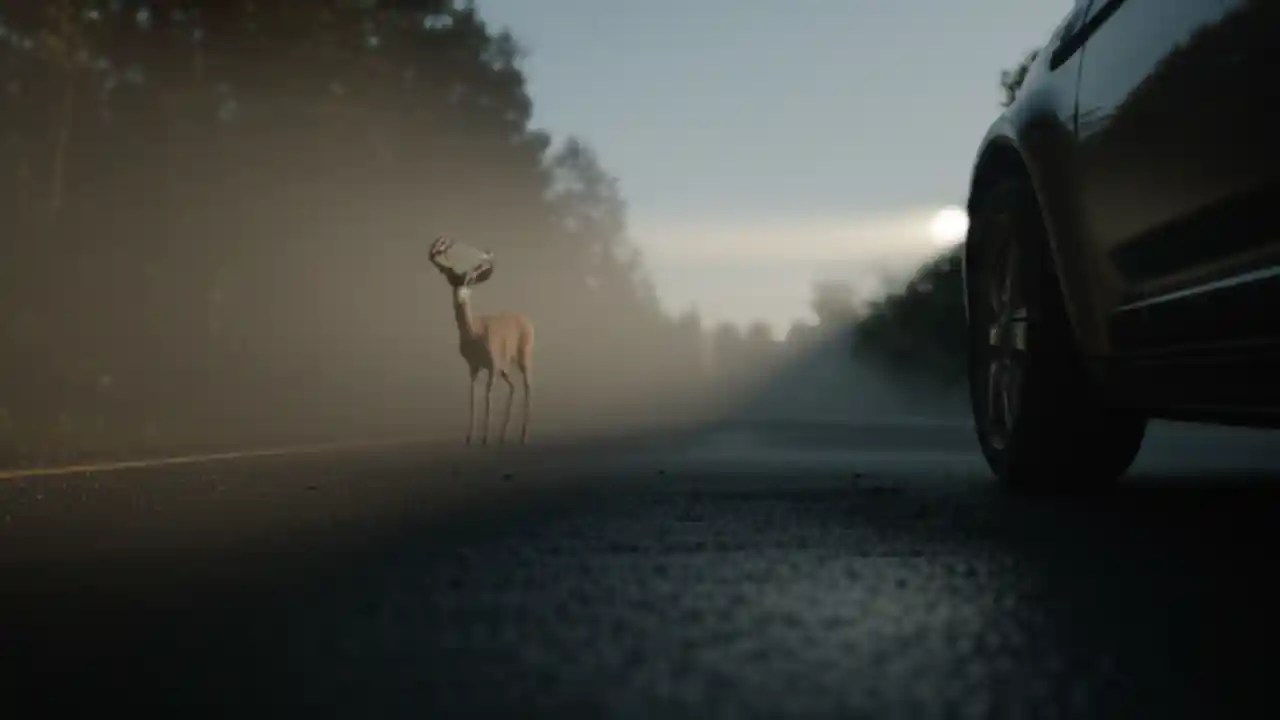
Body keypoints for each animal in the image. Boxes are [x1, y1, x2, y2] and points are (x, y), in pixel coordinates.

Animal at [428, 236, 534, 446]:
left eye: (470, 283)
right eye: (453, 282)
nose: (460, 298)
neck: (475, 333)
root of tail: (528, 321)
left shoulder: (492, 364)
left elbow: (487, 395)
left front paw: (485, 438)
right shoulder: (474, 366)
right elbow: (473, 394)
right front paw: (469, 437)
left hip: (523, 357)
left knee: (527, 386)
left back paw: (523, 436)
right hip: (504, 368)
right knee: (513, 387)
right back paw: (502, 436)